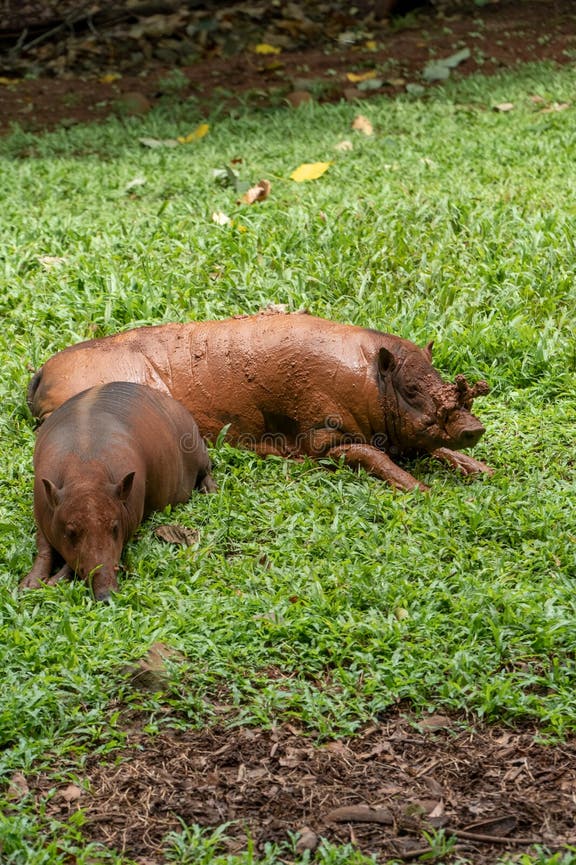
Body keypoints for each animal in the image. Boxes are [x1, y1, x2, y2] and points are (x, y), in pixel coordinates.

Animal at [21, 381, 215, 601]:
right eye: (70, 532)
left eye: (115, 527)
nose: (106, 596)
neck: (85, 472)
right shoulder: (42, 513)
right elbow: (44, 547)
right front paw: (27, 586)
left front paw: (52, 583)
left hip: (198, 448)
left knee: (207, 469)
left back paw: (212, 491)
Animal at [27, 311, 491, 492]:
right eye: (410, 391)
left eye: (439, 378)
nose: (475, 428)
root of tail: (41, 374)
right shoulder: (319, 435)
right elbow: (370, 456)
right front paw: (424, 491)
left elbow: (438, 449)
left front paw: (486, 471)